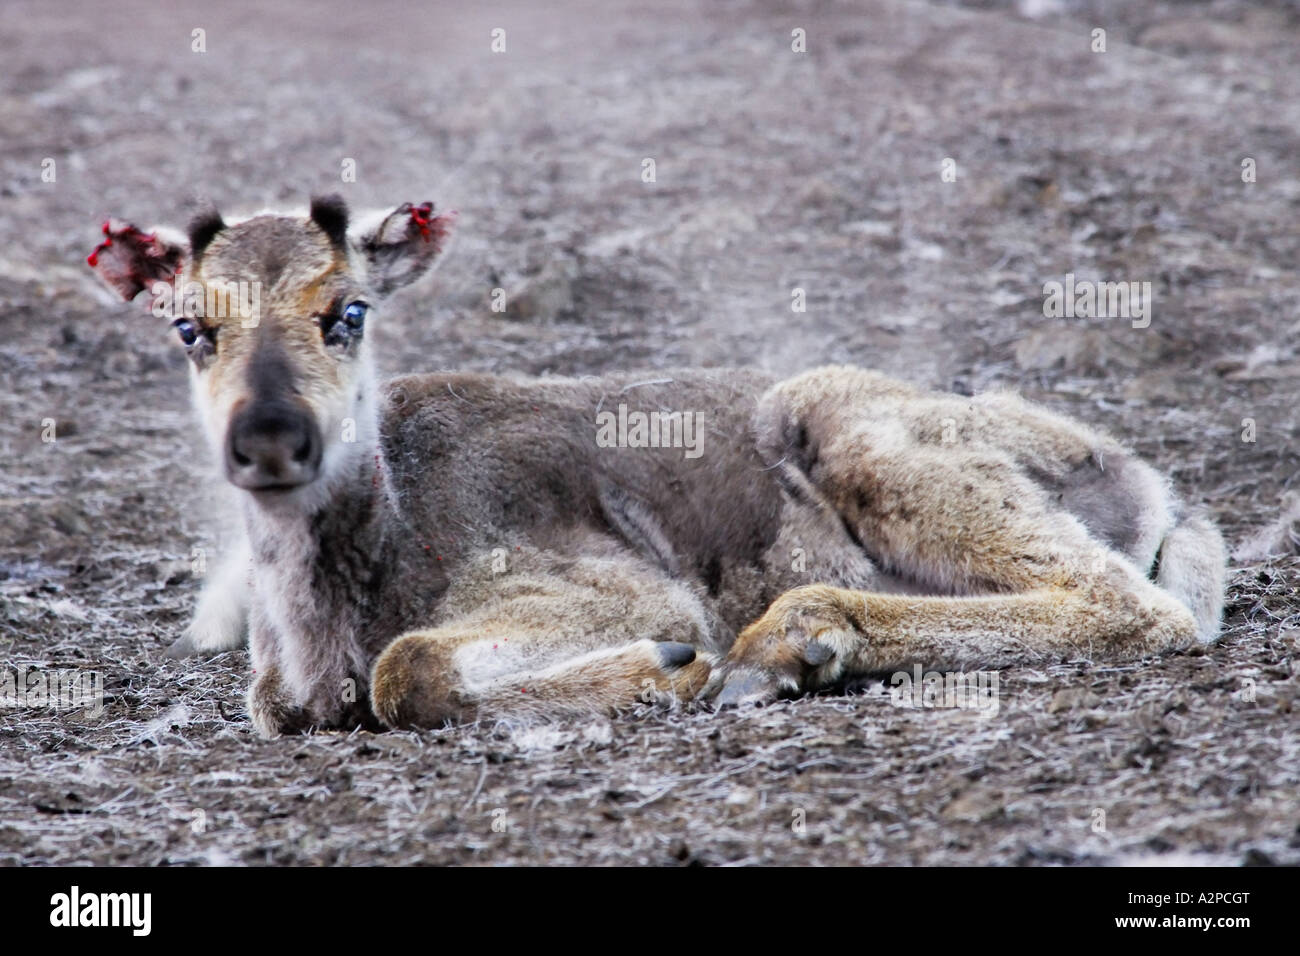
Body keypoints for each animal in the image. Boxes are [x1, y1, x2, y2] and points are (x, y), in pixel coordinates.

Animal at [87, 196, 1227, 737]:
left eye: (348, 311)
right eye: (189, 326)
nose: (271, 437)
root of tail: (1146, 487)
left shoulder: (629, 587)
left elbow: (406, 666)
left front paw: (668, 667)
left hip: (856, 431)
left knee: (1130, 601)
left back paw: (791, 641)